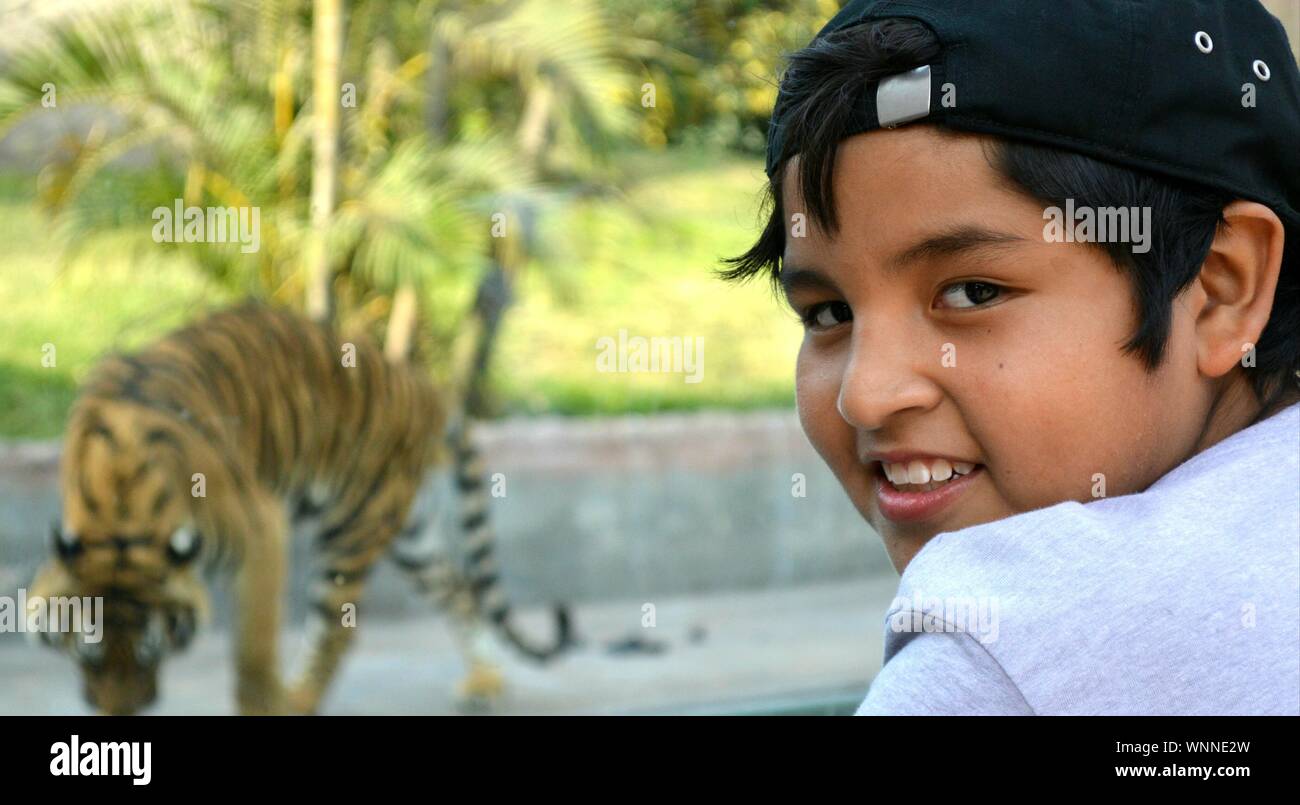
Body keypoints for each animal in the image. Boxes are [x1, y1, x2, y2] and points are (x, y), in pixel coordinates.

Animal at [27, 301, 572, 715]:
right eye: (90, 658)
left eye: (150, 654)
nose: (122, 712)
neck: (121, 516)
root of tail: (421, 387)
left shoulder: (260, 528)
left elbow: (254, 654)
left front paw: (268, 704)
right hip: (409, 533)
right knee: (459, 588)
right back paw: (485, 683)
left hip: (354, 528)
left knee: (336, 633)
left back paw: (300, 701)